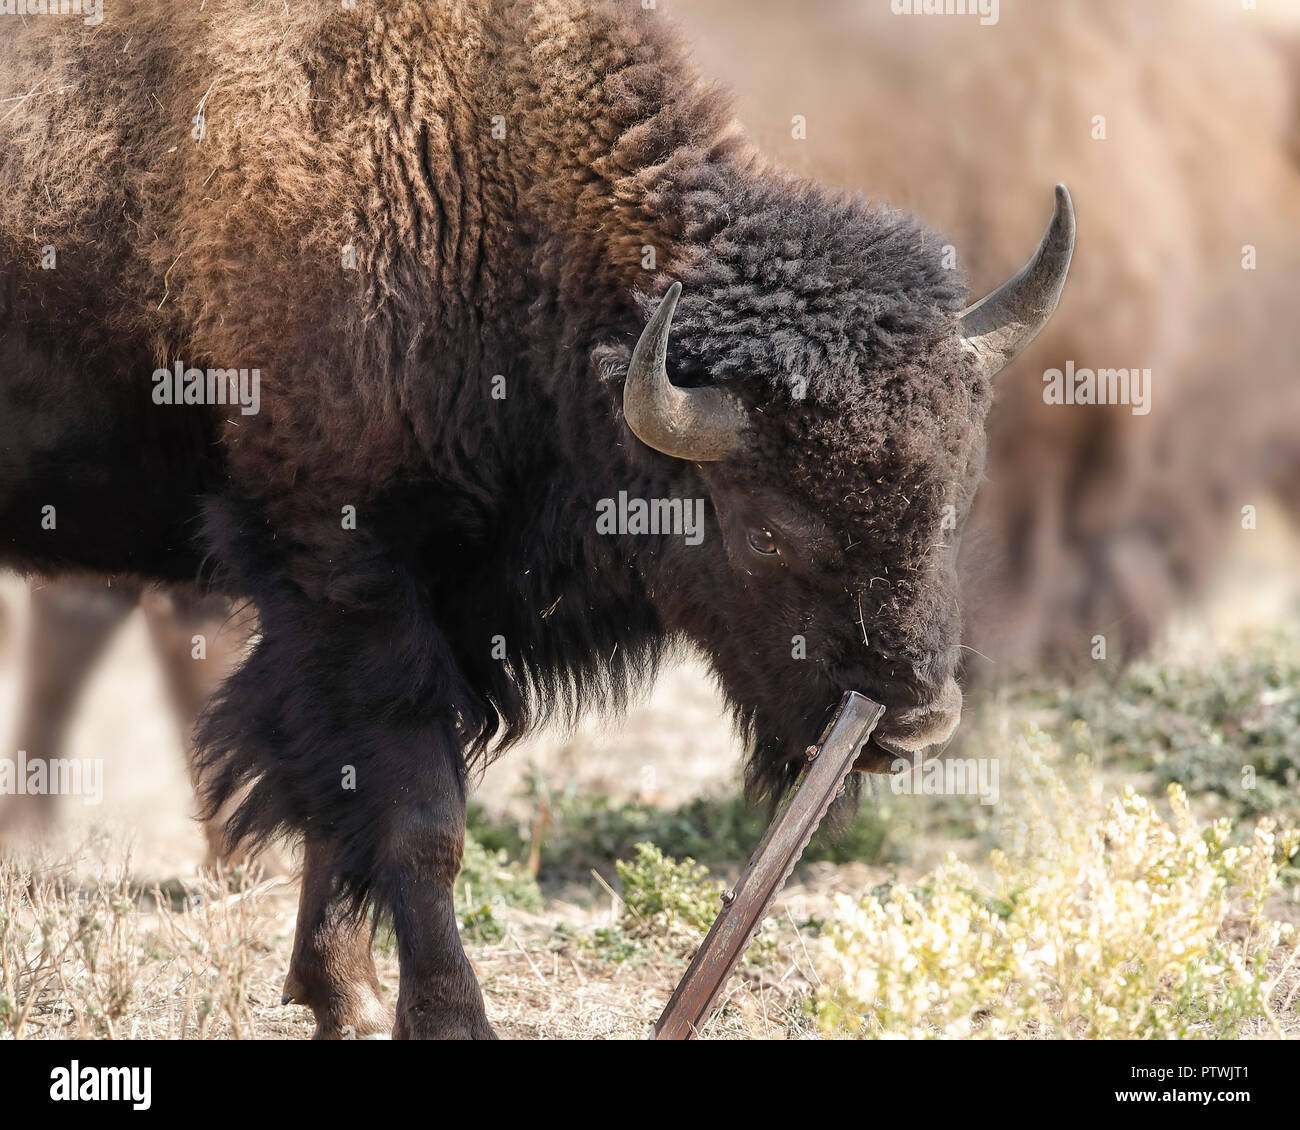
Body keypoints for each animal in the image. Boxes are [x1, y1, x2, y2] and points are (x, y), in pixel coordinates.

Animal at [0, 0, 1070, 1037]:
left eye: (957, 496)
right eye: (765, 530)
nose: (917, 723)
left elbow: (345, 816)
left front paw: (342, 999)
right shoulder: (347, 578)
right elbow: (417, 819)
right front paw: (445, 1018)